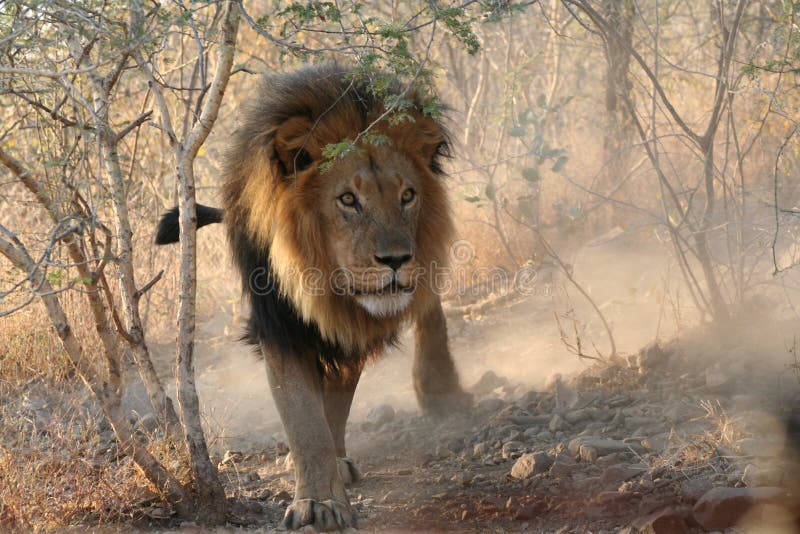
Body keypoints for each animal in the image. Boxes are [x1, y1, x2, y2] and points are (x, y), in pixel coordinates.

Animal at [156, 63, 471, 530]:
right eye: (348, 200)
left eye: (407, 195)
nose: (396, 260)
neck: (323, 285)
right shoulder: (280, 327)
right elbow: (305, 421)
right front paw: (317, 502)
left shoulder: (352, 330)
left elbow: (335, 407)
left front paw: (334, 471)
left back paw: (440, 389)